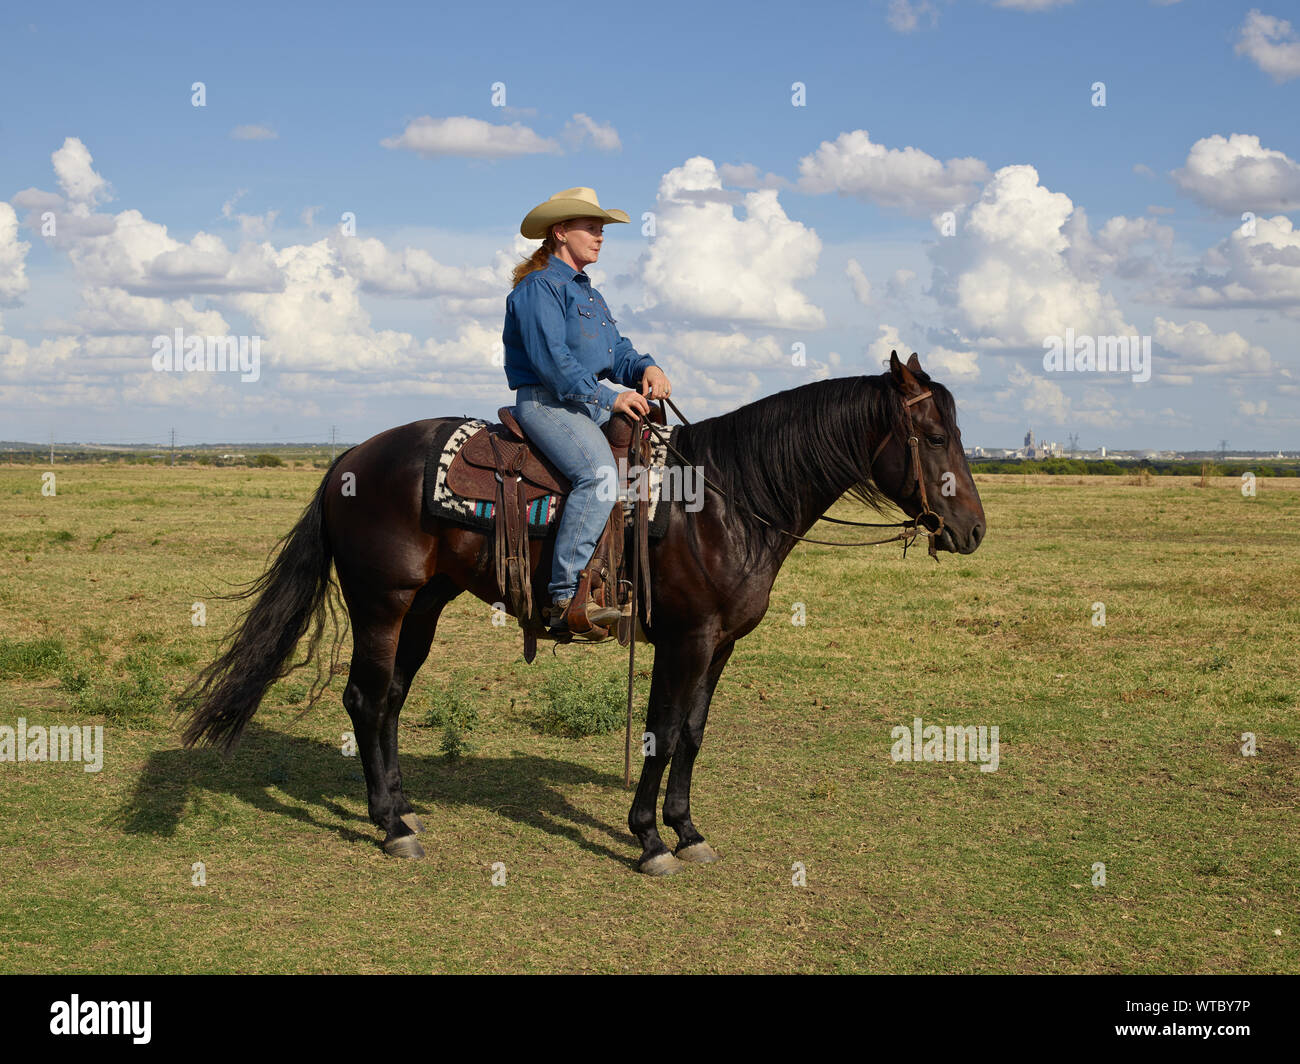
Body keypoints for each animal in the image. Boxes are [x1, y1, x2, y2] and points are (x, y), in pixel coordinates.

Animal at [178, 351, 986, 875]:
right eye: (933, 436)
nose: (973, 530)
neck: (724, 500)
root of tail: (346, 458)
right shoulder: (686, 639)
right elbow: (664, 732)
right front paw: (650, 841)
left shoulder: (719, 643)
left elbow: (692, 733)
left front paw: (686, 830)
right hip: (384, 603)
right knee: (366, 697)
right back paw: (388, 825)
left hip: (426, 606)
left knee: (393, 699)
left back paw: (404, 806)